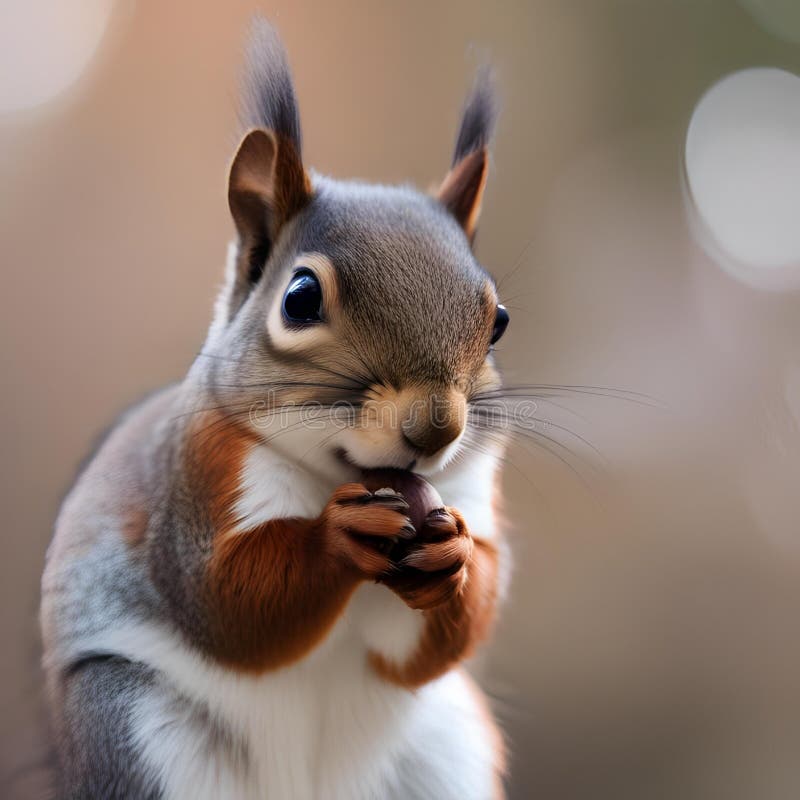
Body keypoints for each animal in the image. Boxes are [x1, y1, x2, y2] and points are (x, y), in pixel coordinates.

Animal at [41, 17, 512, 800]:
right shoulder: (203, 474)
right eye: (299, 299)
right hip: (133, 729)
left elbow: (435, 638)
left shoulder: (470, 484)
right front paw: (335, 537)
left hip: (443, 759)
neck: (339, 474)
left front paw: (457, 559)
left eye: (499, 319)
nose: (436, 426)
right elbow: (228, 603)